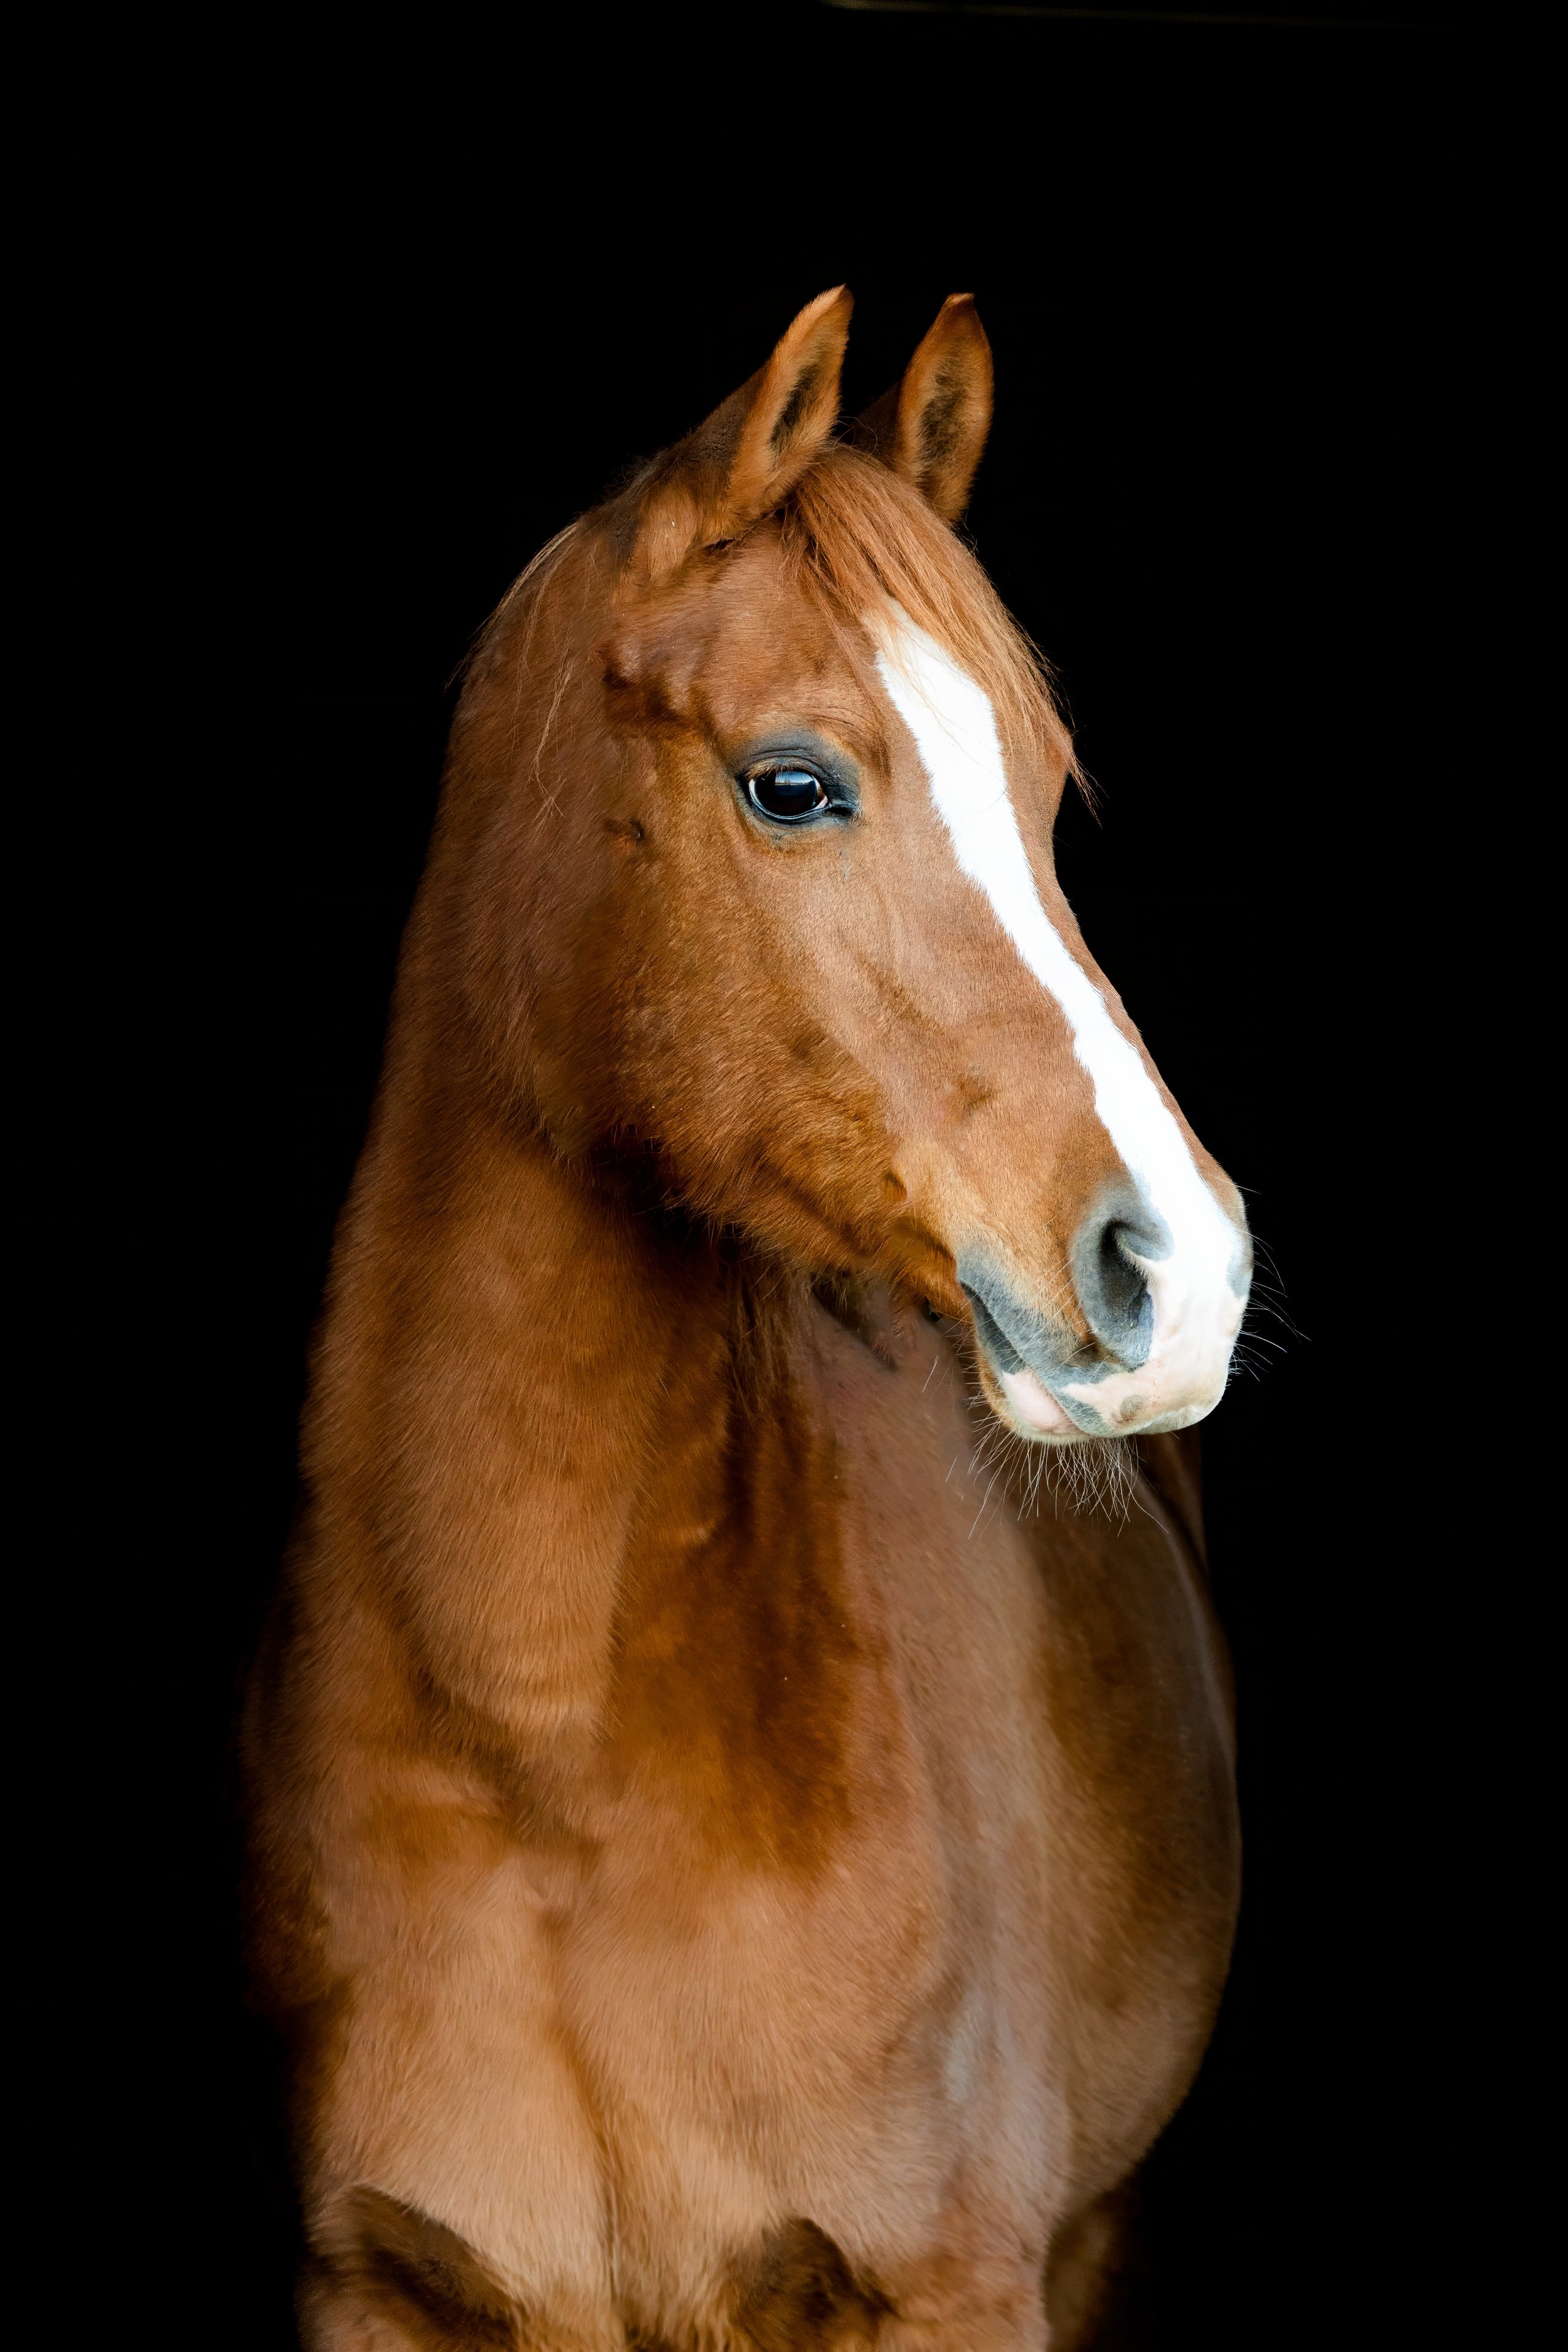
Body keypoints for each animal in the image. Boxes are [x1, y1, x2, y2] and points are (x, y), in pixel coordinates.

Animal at [246, 286, 1250, 2351]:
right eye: (794, 780)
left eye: (1045, 790)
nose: (1181, 1266)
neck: (543, 1748)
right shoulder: (381, 2279)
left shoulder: (953, 2282)